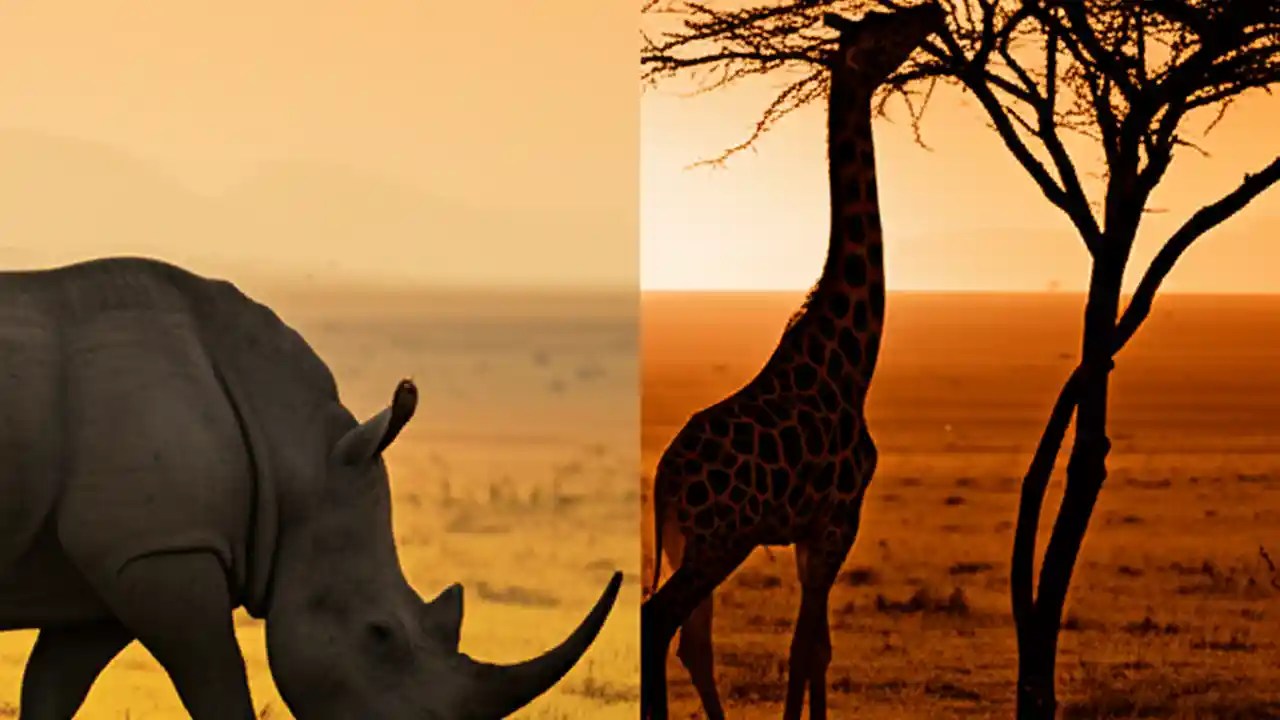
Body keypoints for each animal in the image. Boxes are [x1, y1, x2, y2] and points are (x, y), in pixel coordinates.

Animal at [0, 256, 622, 719]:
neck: (295, 458)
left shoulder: (123, 562)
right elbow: (220, 688)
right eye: (379, 635)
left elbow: (52, 689)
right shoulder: (163, 549)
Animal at [641, 5, 946, 719]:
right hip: (720, 538)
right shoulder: (839, 518)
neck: (850, 364)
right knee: (659, 623)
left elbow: (818, 649)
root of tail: (665, 477)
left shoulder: (812, 531)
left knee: (691, 639)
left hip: (690, 539)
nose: (932, 11)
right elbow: (804, 648)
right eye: (885, 27)